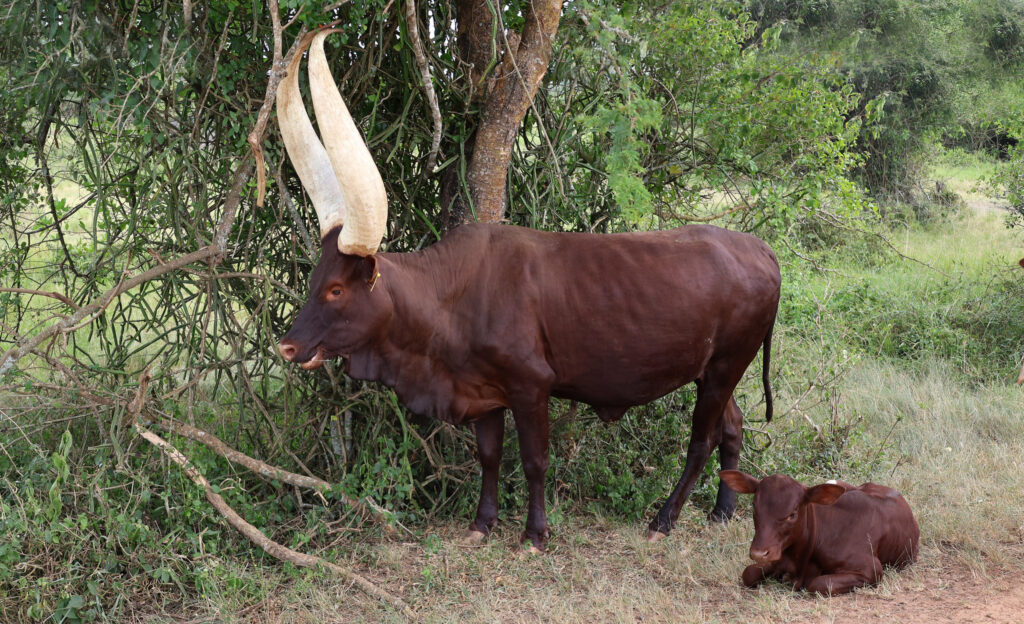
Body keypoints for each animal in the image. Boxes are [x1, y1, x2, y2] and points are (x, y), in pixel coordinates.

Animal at [273, 29, 782, 551]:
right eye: (316, 281)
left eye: (336, 291)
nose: (287, 347)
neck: (450, 299)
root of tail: (759, 249)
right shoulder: (482, 392)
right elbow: (490, 456)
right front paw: (482, 523)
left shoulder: (531, 385)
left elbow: (534, 461)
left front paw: (535, 534)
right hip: (713, 370)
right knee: (733, 427)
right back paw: (723, 511)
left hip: (725, 366)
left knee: (701, 441)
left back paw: (664, 519)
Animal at [719, 470, 919, 595]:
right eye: (754, 506)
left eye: (792, 514)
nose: (759, 553)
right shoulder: (777, 556)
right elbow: (748, 573)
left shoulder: (871, 569)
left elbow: (818, 583)